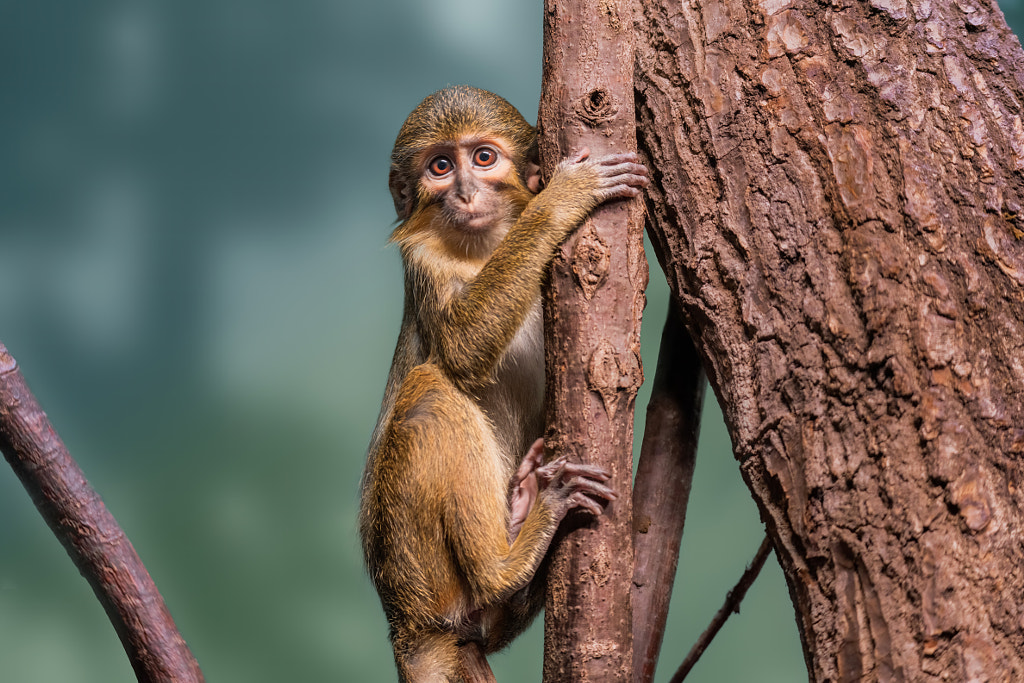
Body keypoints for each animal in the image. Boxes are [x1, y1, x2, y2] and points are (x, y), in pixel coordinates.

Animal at [359, 85, 648, 682]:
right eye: (440, 167)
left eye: (484, 158)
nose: (466, 193)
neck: (485, 246)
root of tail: (405, 626)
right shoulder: (422, 262)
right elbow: (462, 349)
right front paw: (558, 203)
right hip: (419, 574)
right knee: (432, 393)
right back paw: (504, 562)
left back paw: (520, 510)